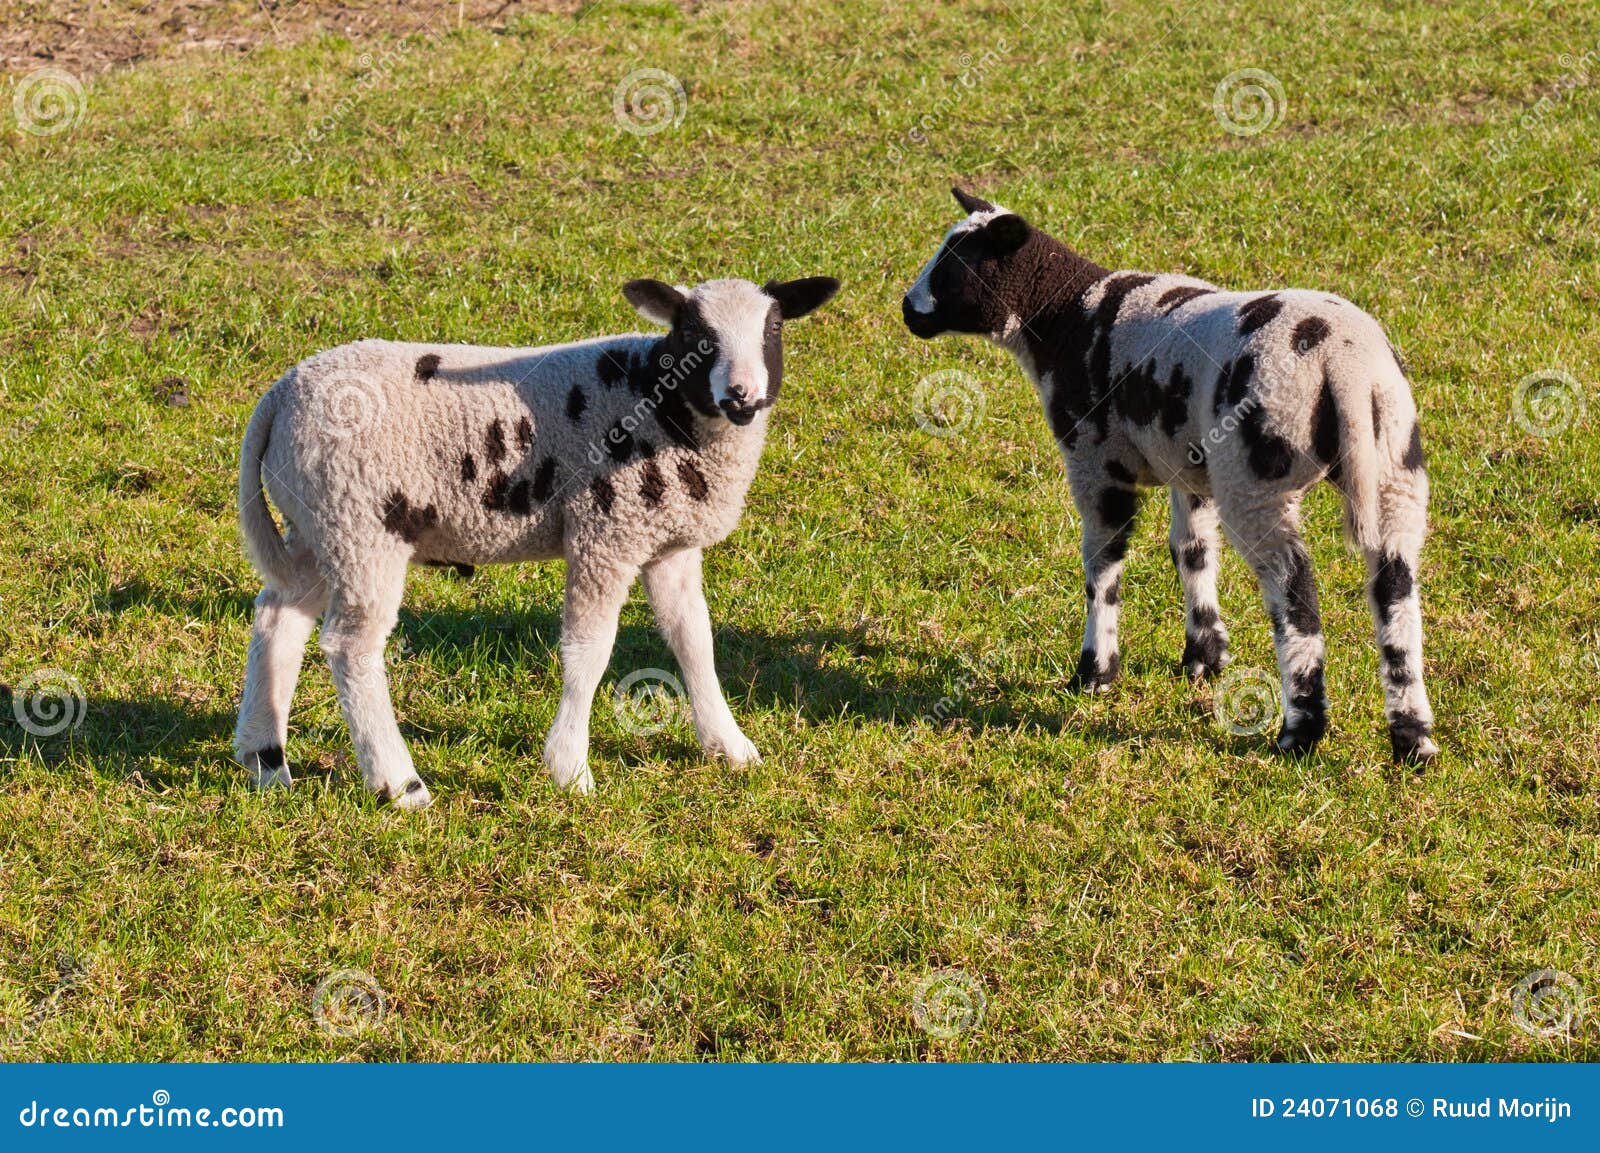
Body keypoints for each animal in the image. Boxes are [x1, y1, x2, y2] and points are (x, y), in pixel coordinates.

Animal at [234, 275, 840, 807]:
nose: (742, 395)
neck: (659, 401)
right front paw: (570, 770)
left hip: (318, 526)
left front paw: (729, 745)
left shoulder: (668, 543)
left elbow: (694, 640)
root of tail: (281, 396)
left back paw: (266, 761)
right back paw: (400, 786)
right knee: (351, 648)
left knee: (279, 617)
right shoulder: (605, 530)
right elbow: (589, 652)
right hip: (361, 525)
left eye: (774, 328)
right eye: (695, 334)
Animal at [902, 187, 1438, 764]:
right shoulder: (1190, 462)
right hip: (1395, 469)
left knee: (1294, 592)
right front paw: (1204, 656)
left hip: (1255, 477)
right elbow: (1192, 550)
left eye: (958, 266)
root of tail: (1345, 365)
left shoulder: (1096, 461)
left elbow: (1103, 565)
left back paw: (1300, 732)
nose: (908, 309)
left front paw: (1094, 673)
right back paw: (1413, 739)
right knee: (1395, 588)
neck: (1066, 315)